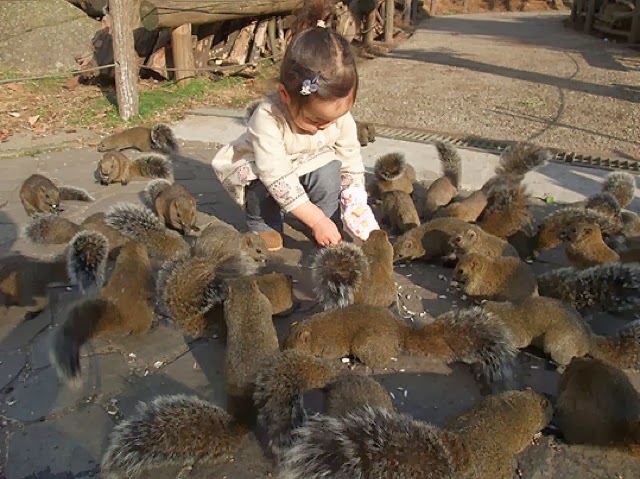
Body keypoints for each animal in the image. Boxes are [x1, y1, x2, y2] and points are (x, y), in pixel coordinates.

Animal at [284, 304, 516, 385]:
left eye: (292, 345)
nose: (283, 351)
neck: (314, 330)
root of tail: (401, 334)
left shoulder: (329, 344)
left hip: (365, 343)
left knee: (380, 362)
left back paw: (358, 364)